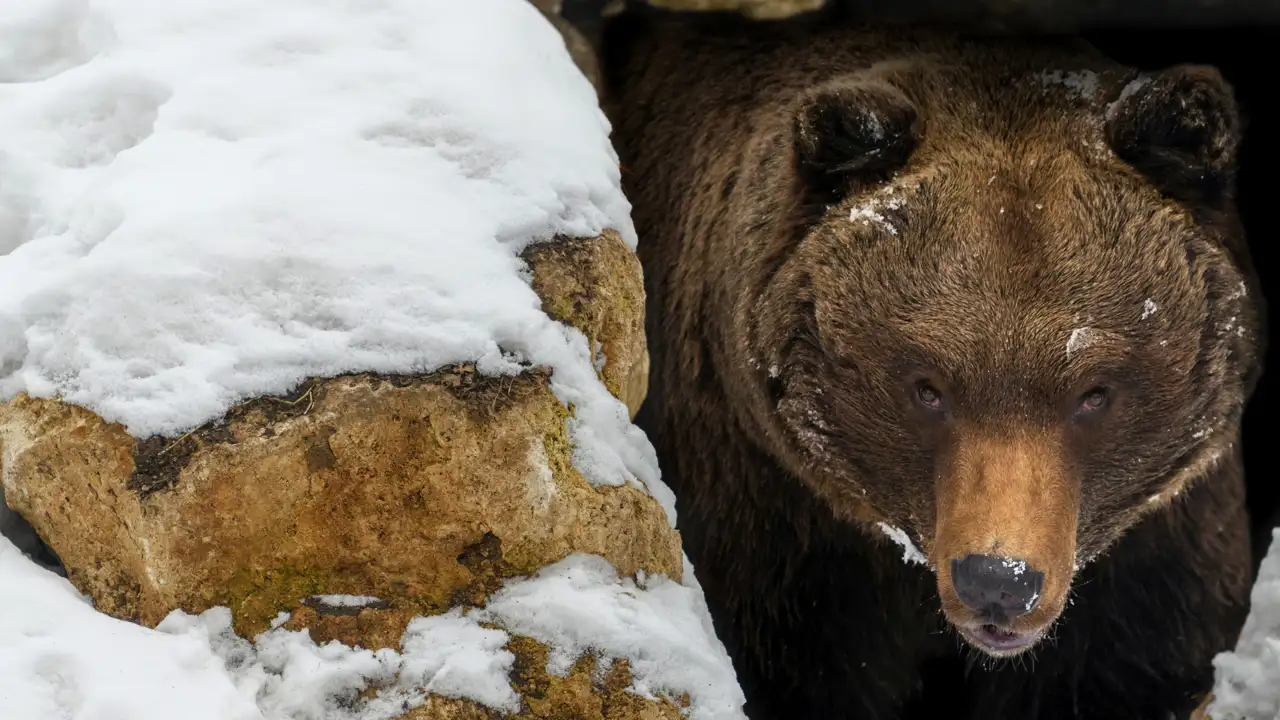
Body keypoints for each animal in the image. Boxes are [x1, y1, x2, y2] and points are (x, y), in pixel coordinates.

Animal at [600, 6, 1266, 719]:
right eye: (928, 388)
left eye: (1094, 393)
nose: (999, 580)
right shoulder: (775, 525)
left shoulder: (1153, 555)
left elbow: (1130, 664)